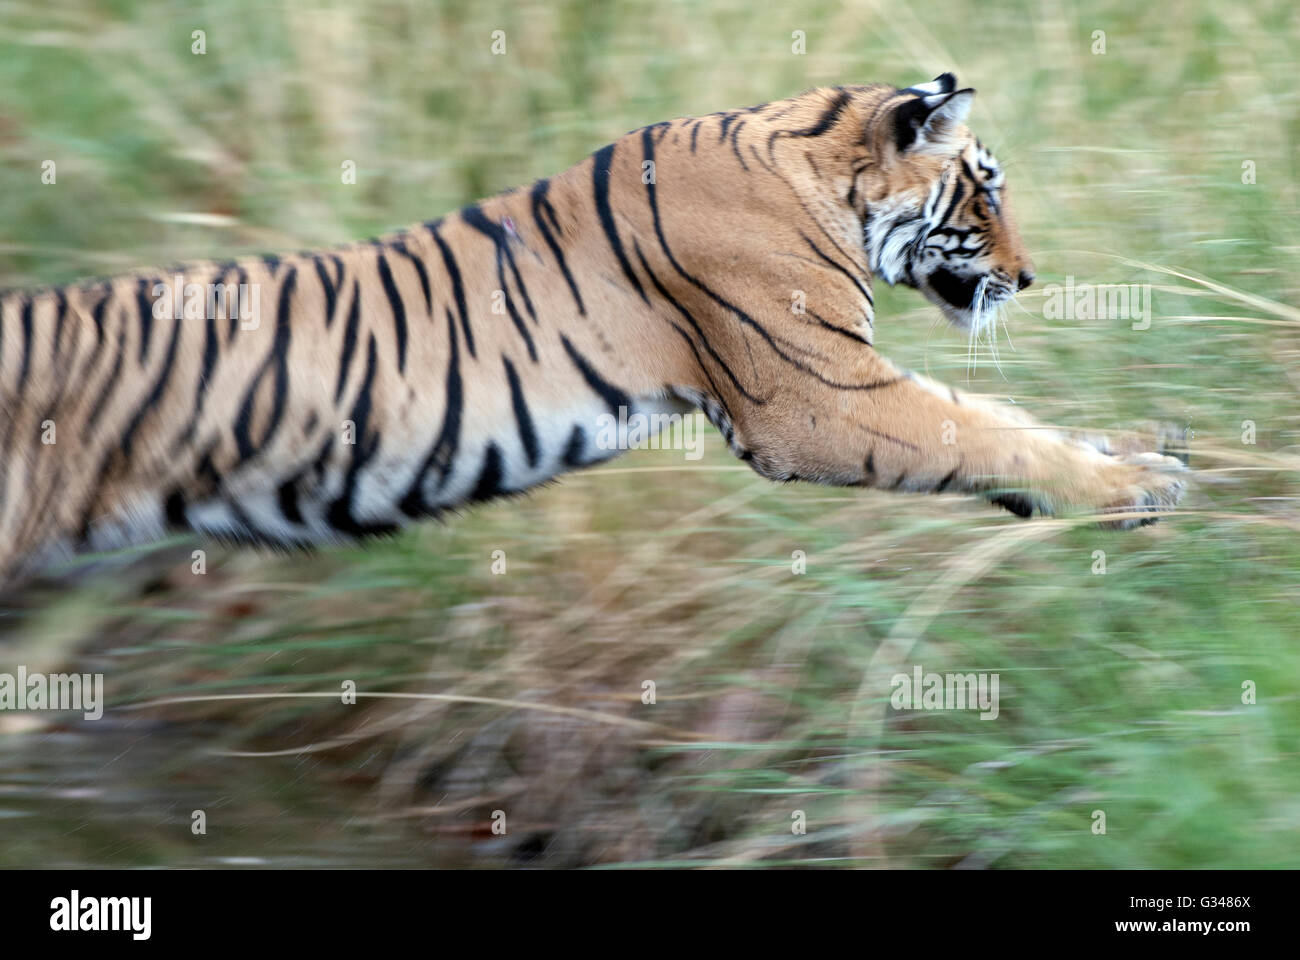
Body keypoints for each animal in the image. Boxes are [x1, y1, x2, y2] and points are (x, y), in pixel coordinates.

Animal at [0, 74, 1186, 584]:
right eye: (984, 192)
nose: (1030, 278)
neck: (815, 161)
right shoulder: (816, 397)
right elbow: (975, 424)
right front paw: (1130, 483)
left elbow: (990, 424)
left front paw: (1139, 456)